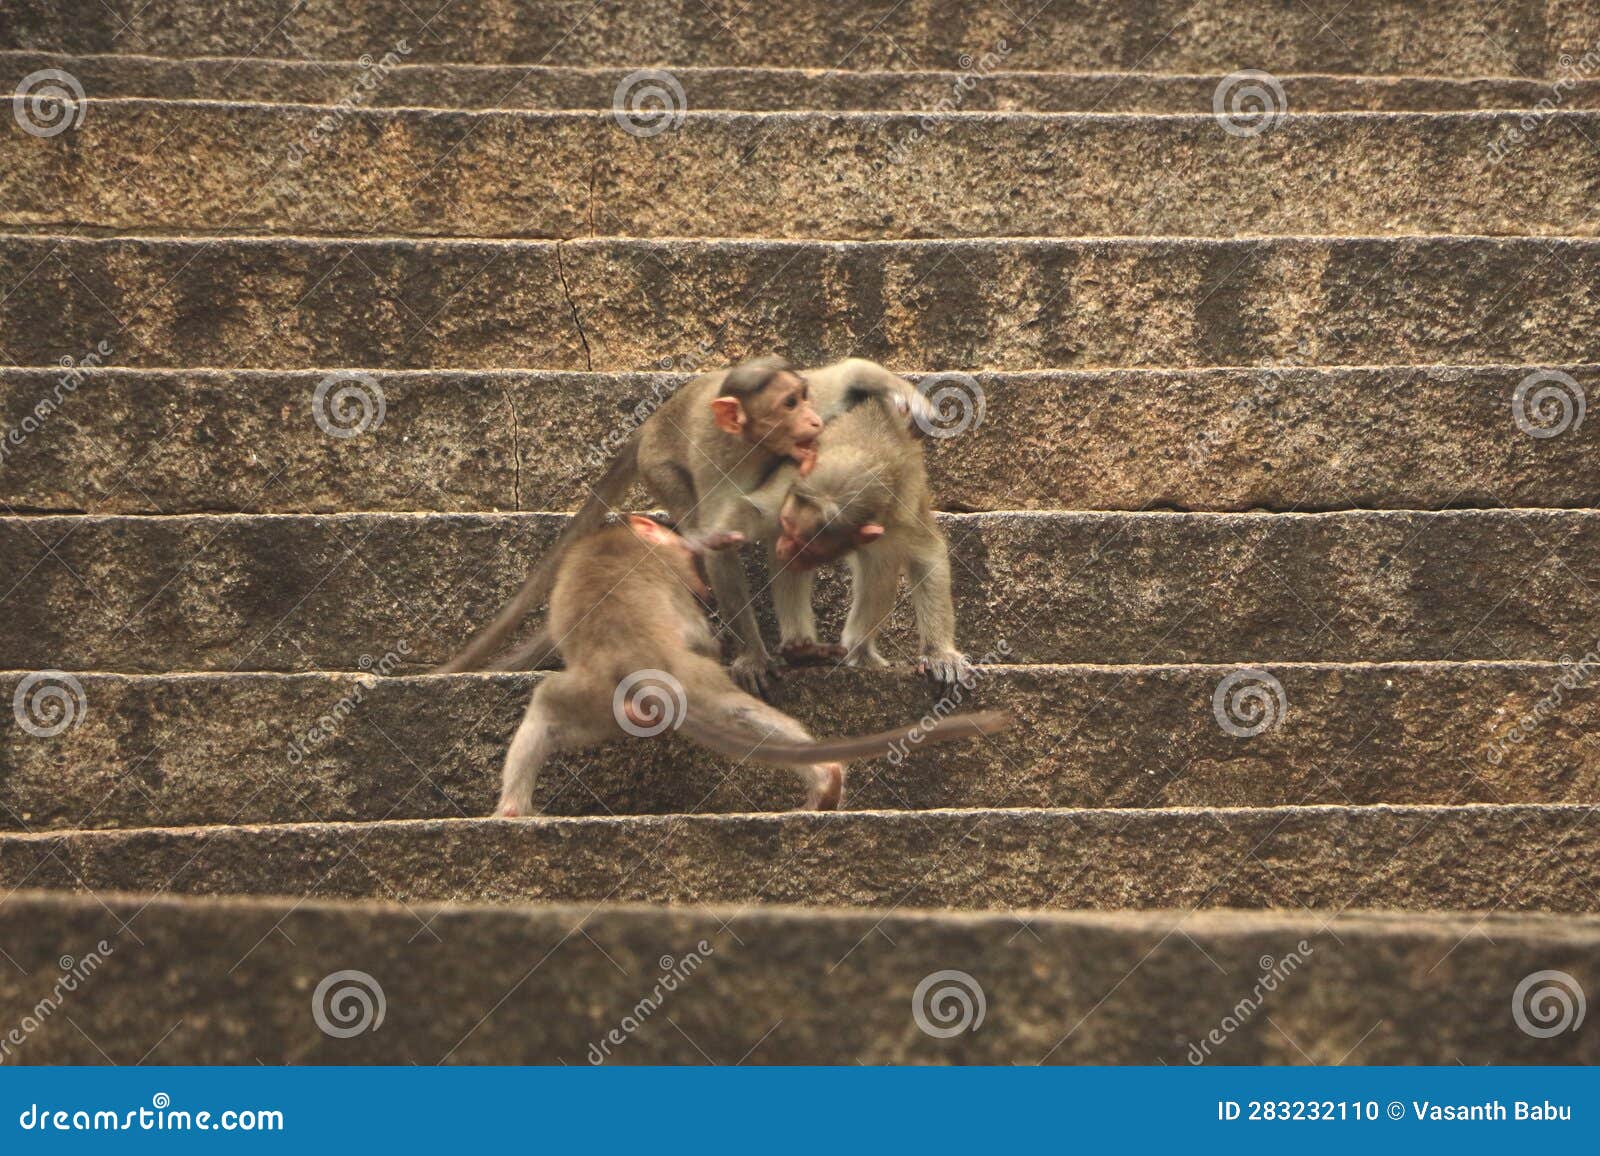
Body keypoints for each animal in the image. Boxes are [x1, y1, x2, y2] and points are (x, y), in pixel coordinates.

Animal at [435, 357, 931, 696]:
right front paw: (752, 655)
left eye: (802, 398)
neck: (755, 444)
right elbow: (718, 544)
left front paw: (907, 396)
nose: (809, 418)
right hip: (661, 469)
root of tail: (649, 425)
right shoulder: (718, 458)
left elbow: (846, 374)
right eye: (788, 403)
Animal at [492, 514, 1010, 817]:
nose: (702, 580)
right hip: (681, 683)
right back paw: (827, 777)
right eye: (691, 559)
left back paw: (514, 809)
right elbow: (699, 637)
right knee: (734, 707)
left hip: (599, 701)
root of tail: (632, 667)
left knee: (546, 708)